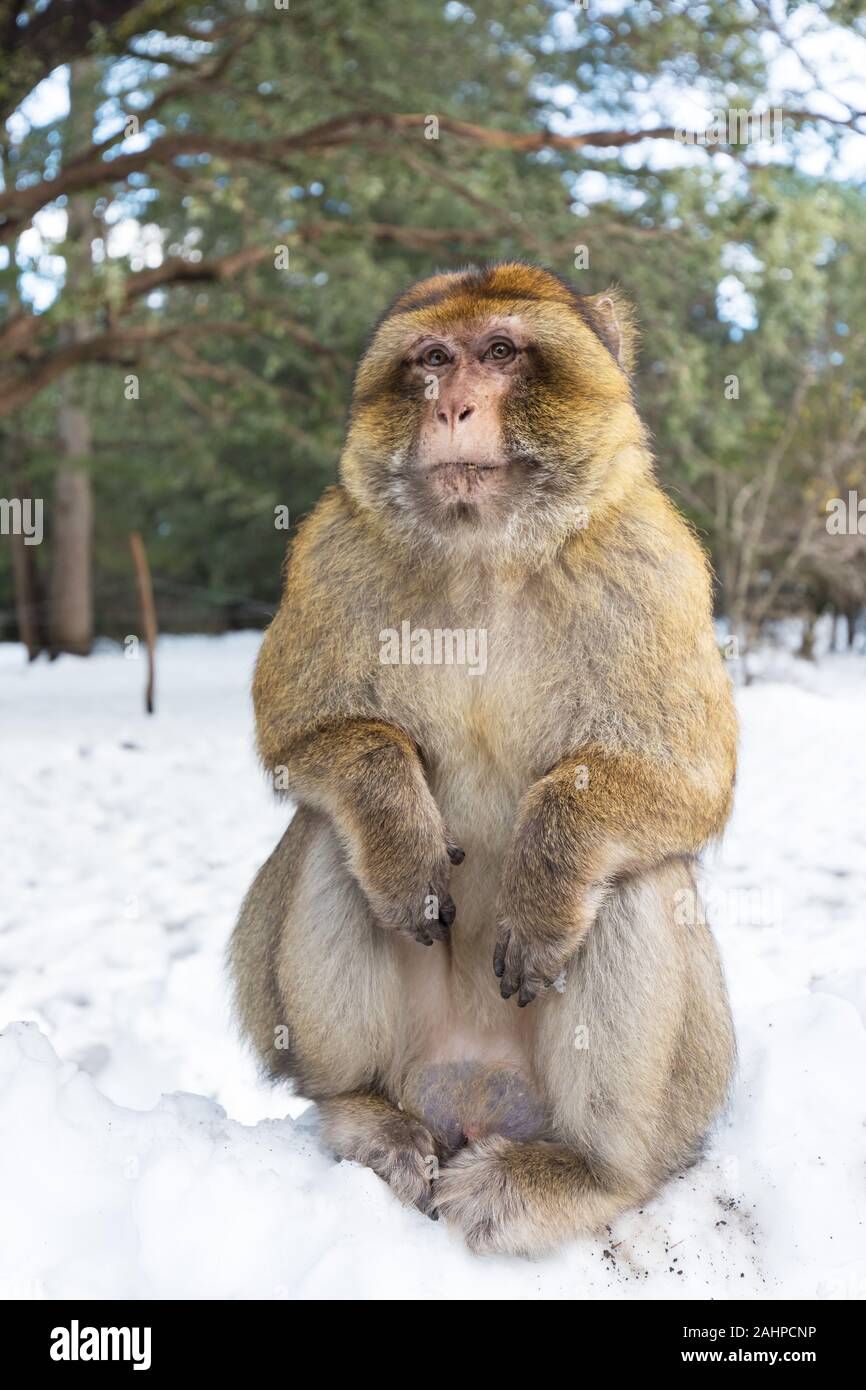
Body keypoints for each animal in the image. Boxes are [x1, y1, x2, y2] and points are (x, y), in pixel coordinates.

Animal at [229, 262, 737, 1256]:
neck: (486, 549)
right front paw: (396, 829)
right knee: (328, 836)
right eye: (433, 359)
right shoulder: (334, 550)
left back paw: (585, 1176)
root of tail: (469, 1098)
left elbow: (690, 779)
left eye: (500, 352)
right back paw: (364, 1113)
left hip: (668, 1100)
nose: (453, 406)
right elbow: (298, 737)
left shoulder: (652, 562)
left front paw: (544, 883)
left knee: (636, 879)